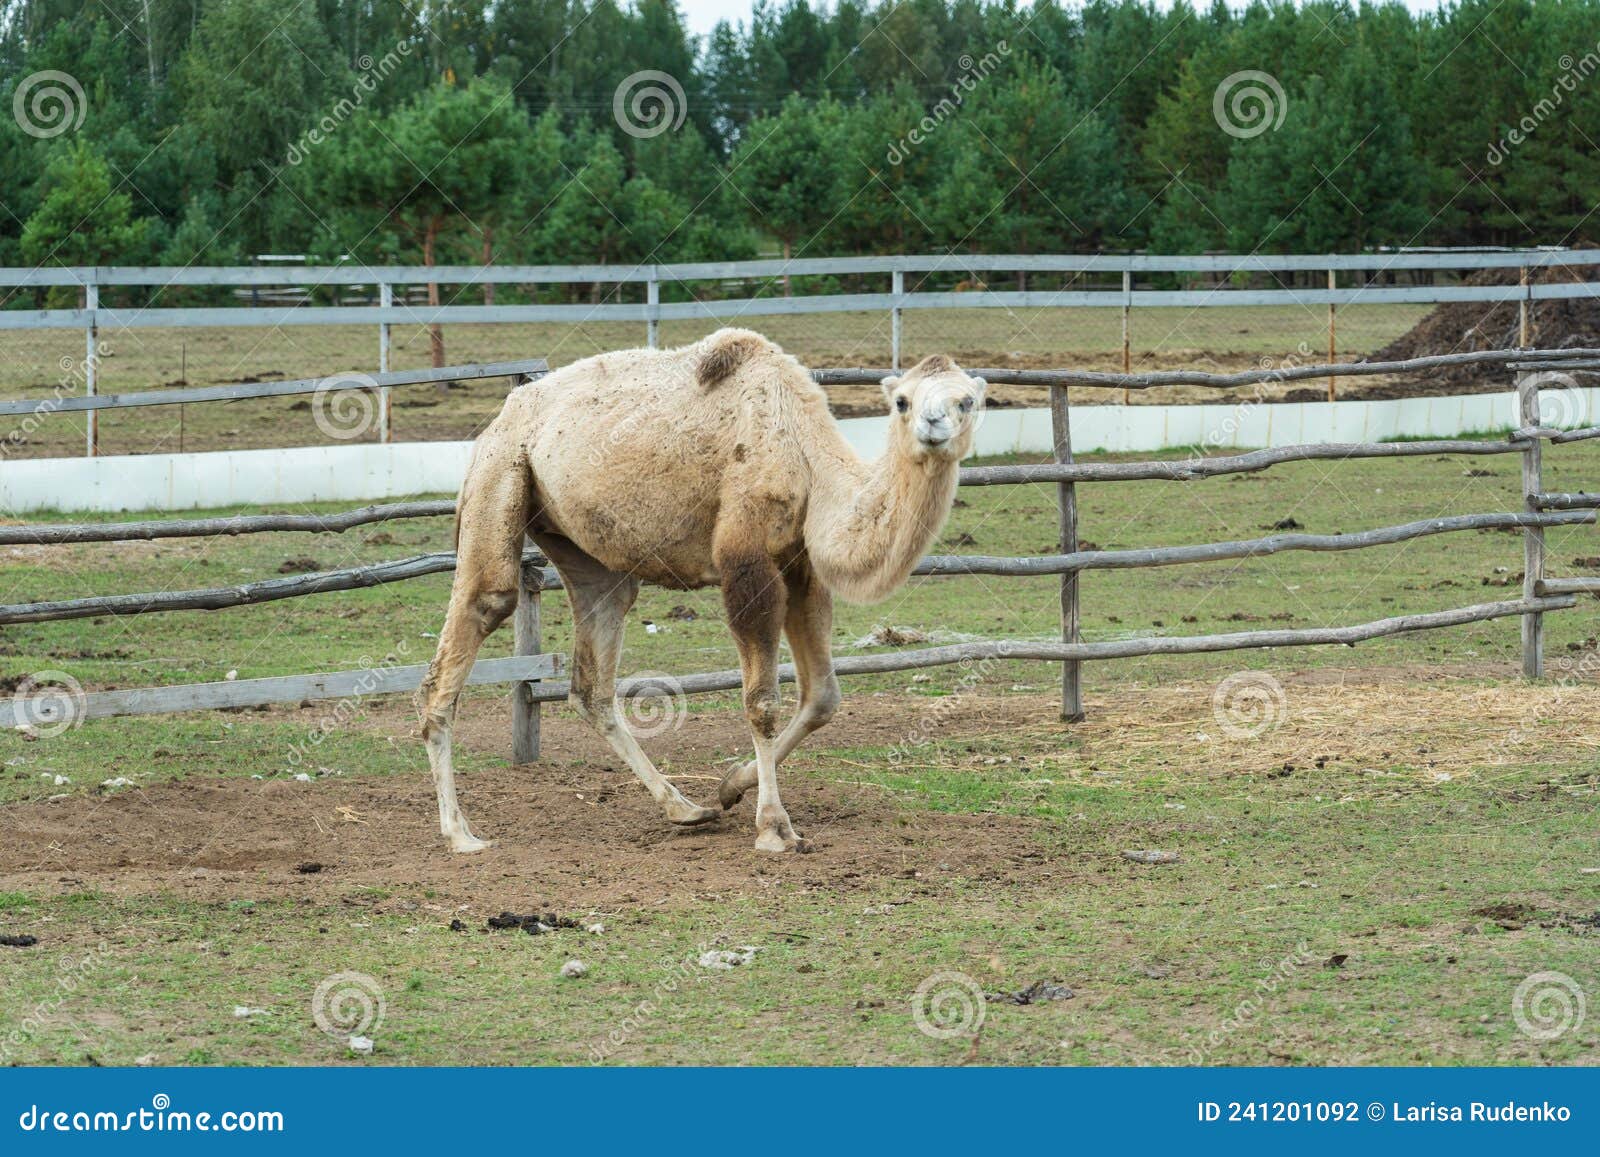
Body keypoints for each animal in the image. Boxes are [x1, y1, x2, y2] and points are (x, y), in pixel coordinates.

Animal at [415, 328, 986, 854]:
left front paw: (731, 786)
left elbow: (824, 696)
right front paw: (774, 828)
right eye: (902, 400)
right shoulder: (746, 559)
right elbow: (761, 702)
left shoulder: (800, 567)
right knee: (481, 609)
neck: (805, 457)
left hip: (585, 550)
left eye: (969, 400)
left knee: (594, 673)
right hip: (500, 474)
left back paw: (685, 808)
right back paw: (459, 832)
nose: (934, 426)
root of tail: (504, 414)